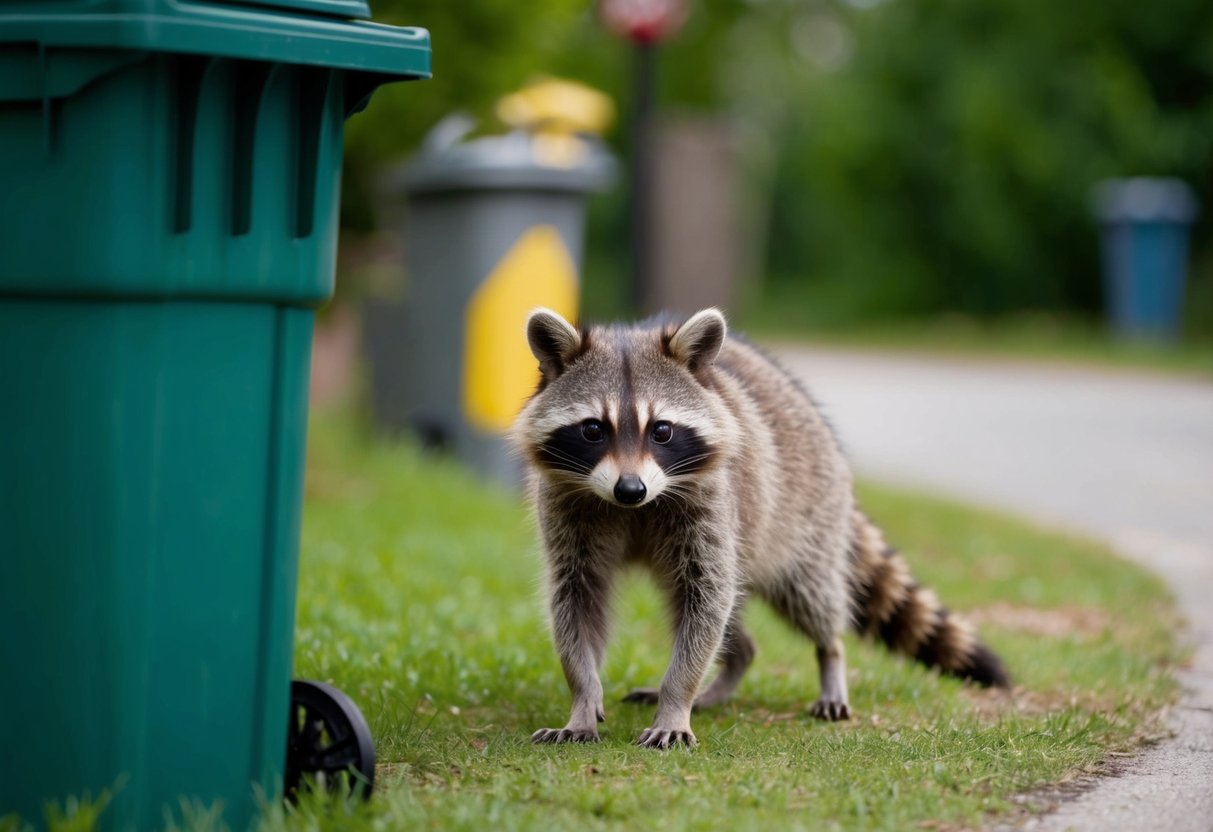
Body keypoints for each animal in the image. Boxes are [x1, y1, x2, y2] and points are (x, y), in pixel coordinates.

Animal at [511, 307, 1008, 749]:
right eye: (593, 429)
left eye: (662, 430)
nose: (630, 489)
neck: (635, 507)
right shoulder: (566, 512)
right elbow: (575, 602)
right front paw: (583, 699)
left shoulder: (713, 505)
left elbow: (706, 603)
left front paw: (677, 698)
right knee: (712, 614)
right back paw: (731, 668)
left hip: (804, 520)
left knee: (808, 598)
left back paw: (830, 657)